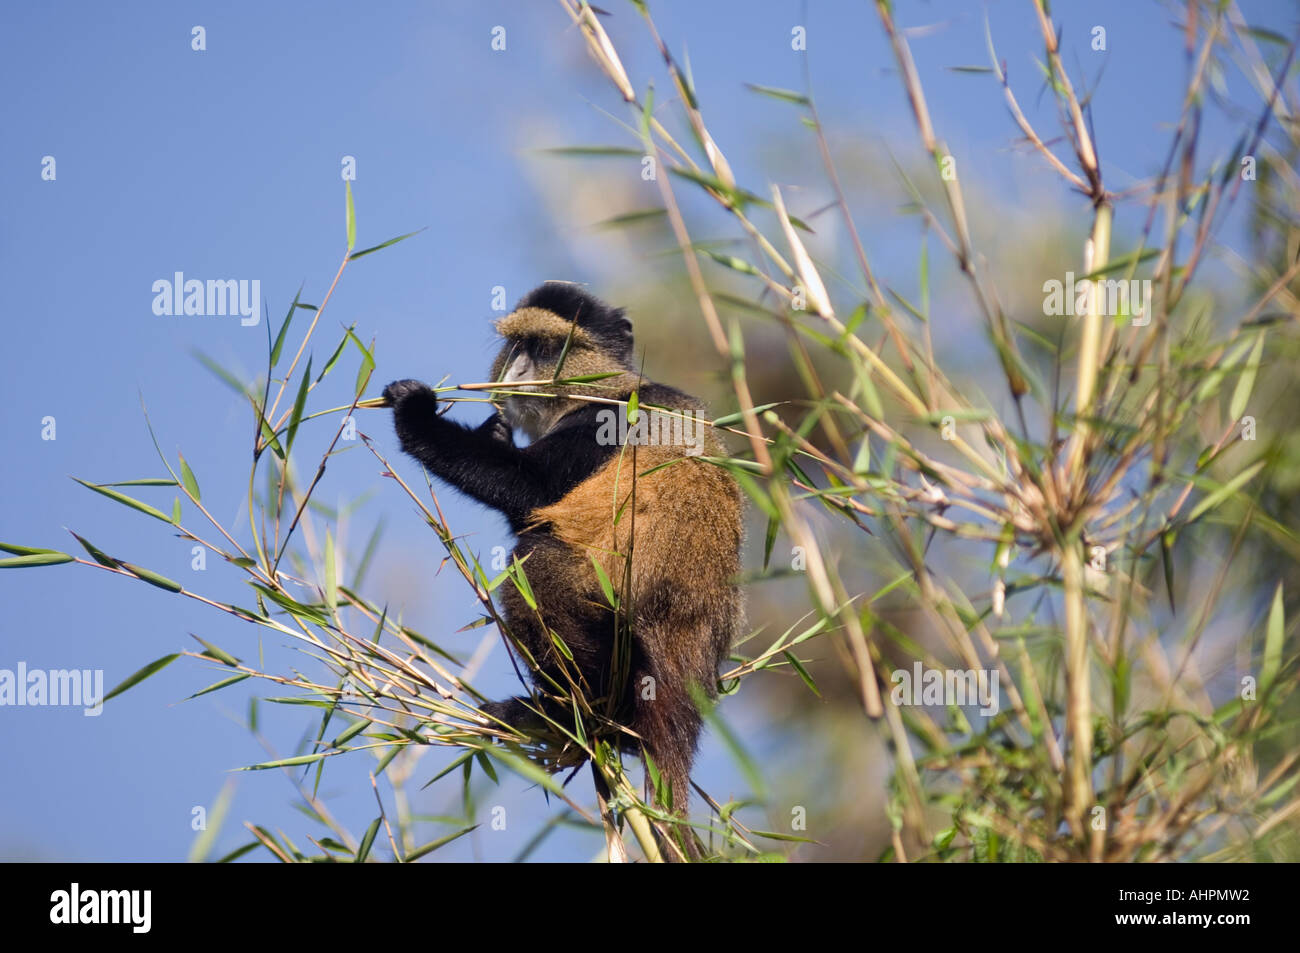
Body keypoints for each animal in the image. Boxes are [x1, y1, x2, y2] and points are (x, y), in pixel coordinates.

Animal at [383, 282, 743, 831]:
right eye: (516, 344)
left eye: (548, 347)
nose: (517, 371)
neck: (605, 386)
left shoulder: (602, 424)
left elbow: (531, 489)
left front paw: (416, 415)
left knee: (536, 563)